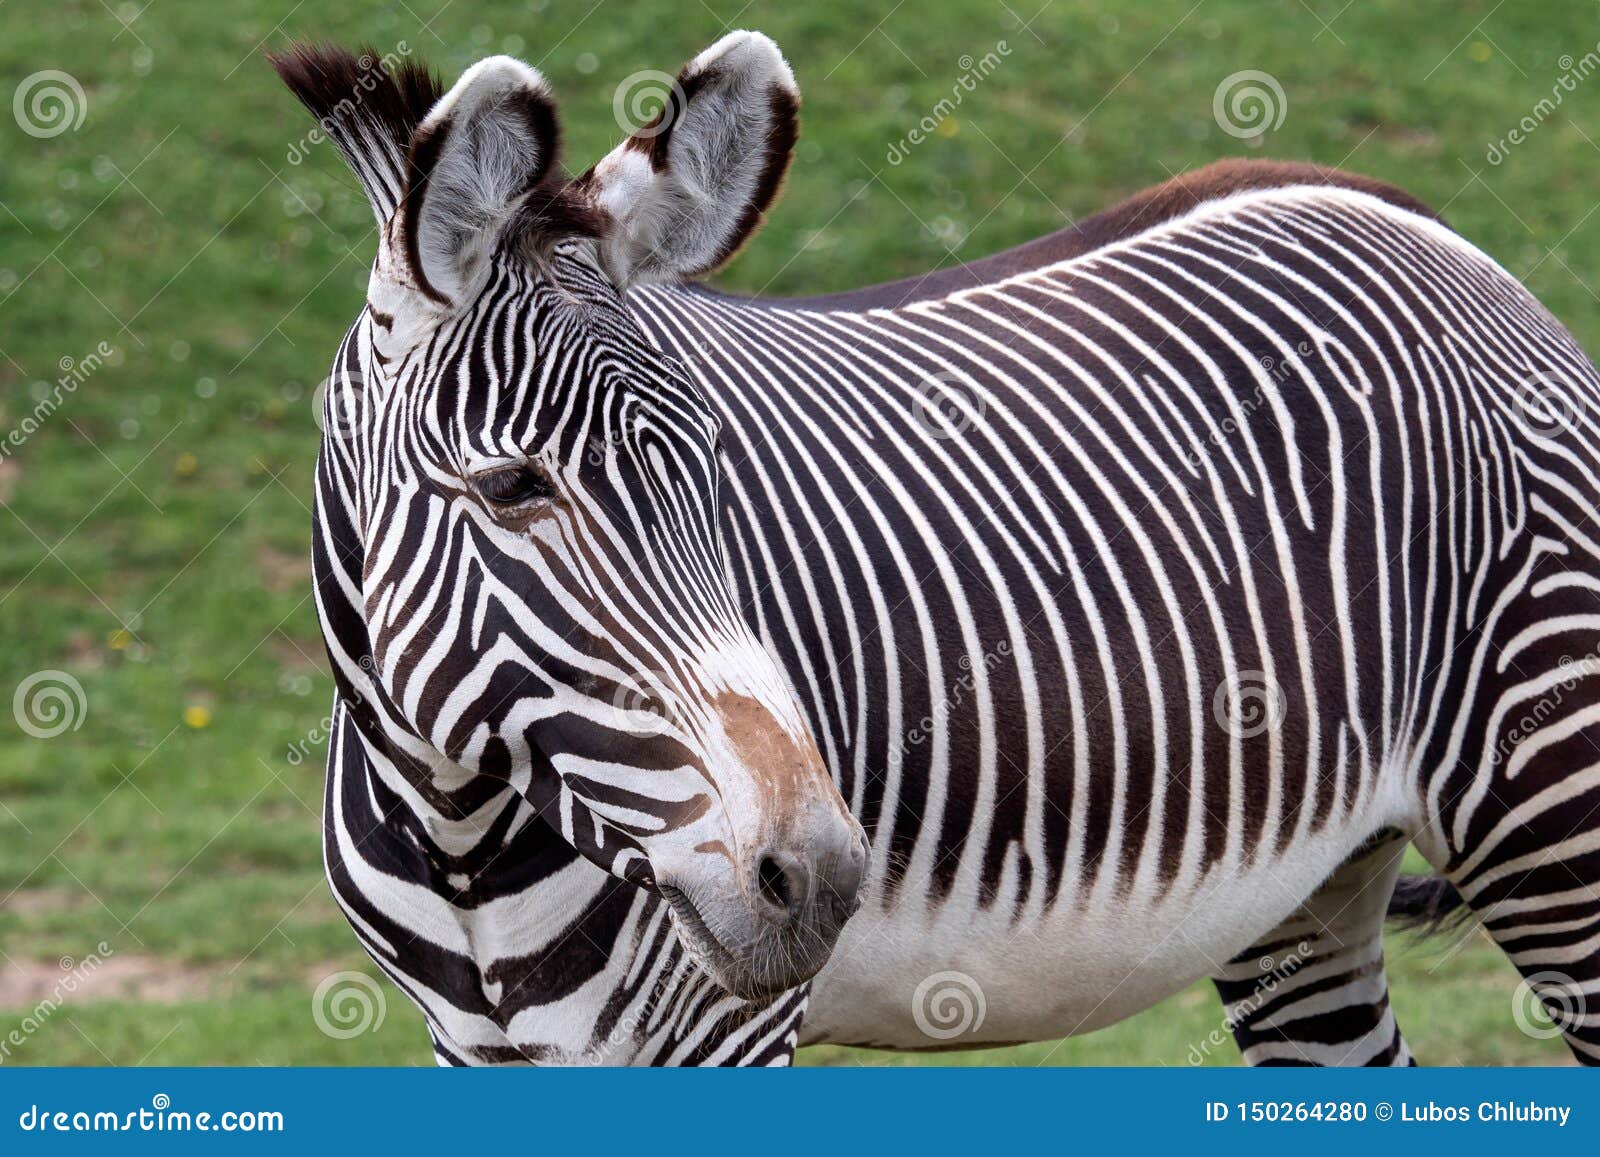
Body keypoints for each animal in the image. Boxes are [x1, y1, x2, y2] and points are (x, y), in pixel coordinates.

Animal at [272, 32, 1600, 1066]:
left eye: (714, 461)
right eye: (512, 488)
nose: (817, 873)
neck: (457, 829)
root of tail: (1410, 217)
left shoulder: (720, 1030)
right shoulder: (475, 1039)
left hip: (1553, 809)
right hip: (1308, 886)